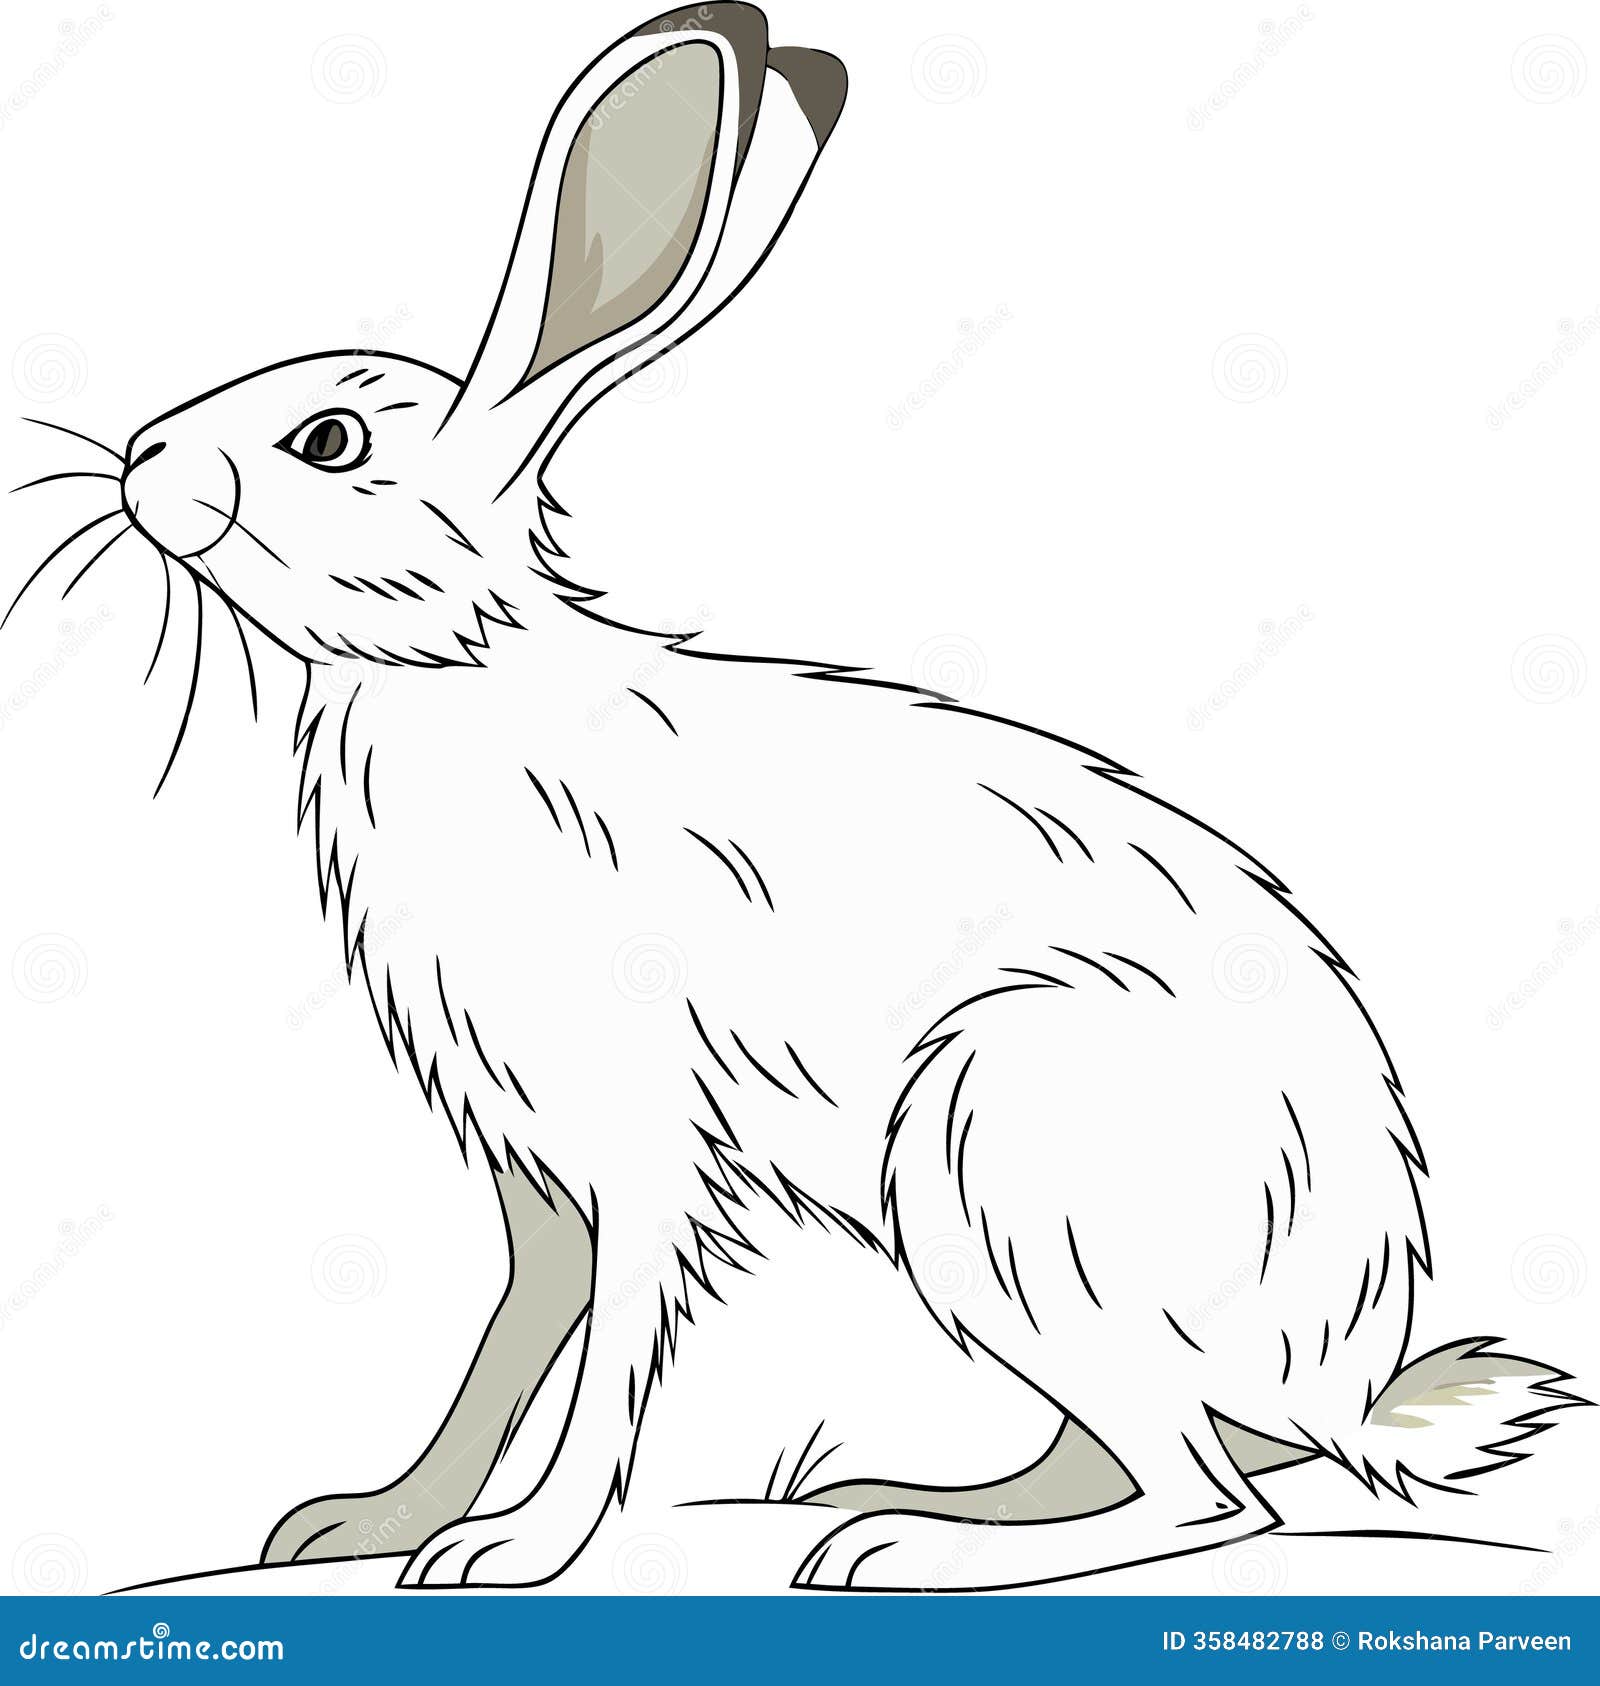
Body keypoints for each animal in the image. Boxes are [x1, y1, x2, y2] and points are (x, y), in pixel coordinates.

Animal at [16, 3, 1582, 1591]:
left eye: (328, 442)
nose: (141, 457)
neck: (458, 662)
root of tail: (1338, 1366)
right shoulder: (537, 1166)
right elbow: (511, 1338)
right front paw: (372, 1522)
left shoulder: (642, 1132)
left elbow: (611, 1357)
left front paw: (512, 1550)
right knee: (1141, 1451)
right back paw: (911, 1499)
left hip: (991, 1152)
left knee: (1206, 1496)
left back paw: (905, 1550)